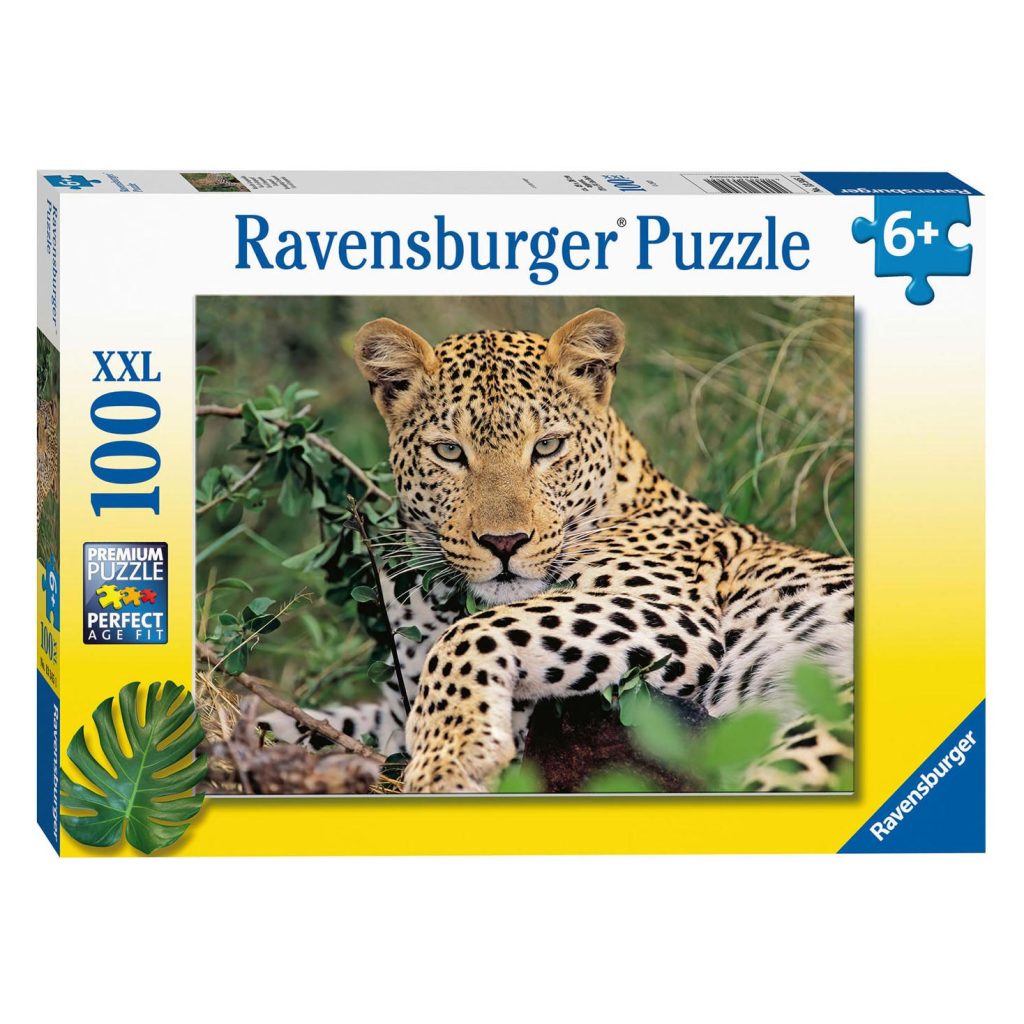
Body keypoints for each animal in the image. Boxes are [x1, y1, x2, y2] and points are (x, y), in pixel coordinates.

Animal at [261, 308, 854, 794]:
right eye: (449, 452)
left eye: (547, 446)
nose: (504, 543)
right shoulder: (393, 708)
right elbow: (315, 719)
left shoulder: (674, 616)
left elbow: (471, 634)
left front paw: (451, 757)